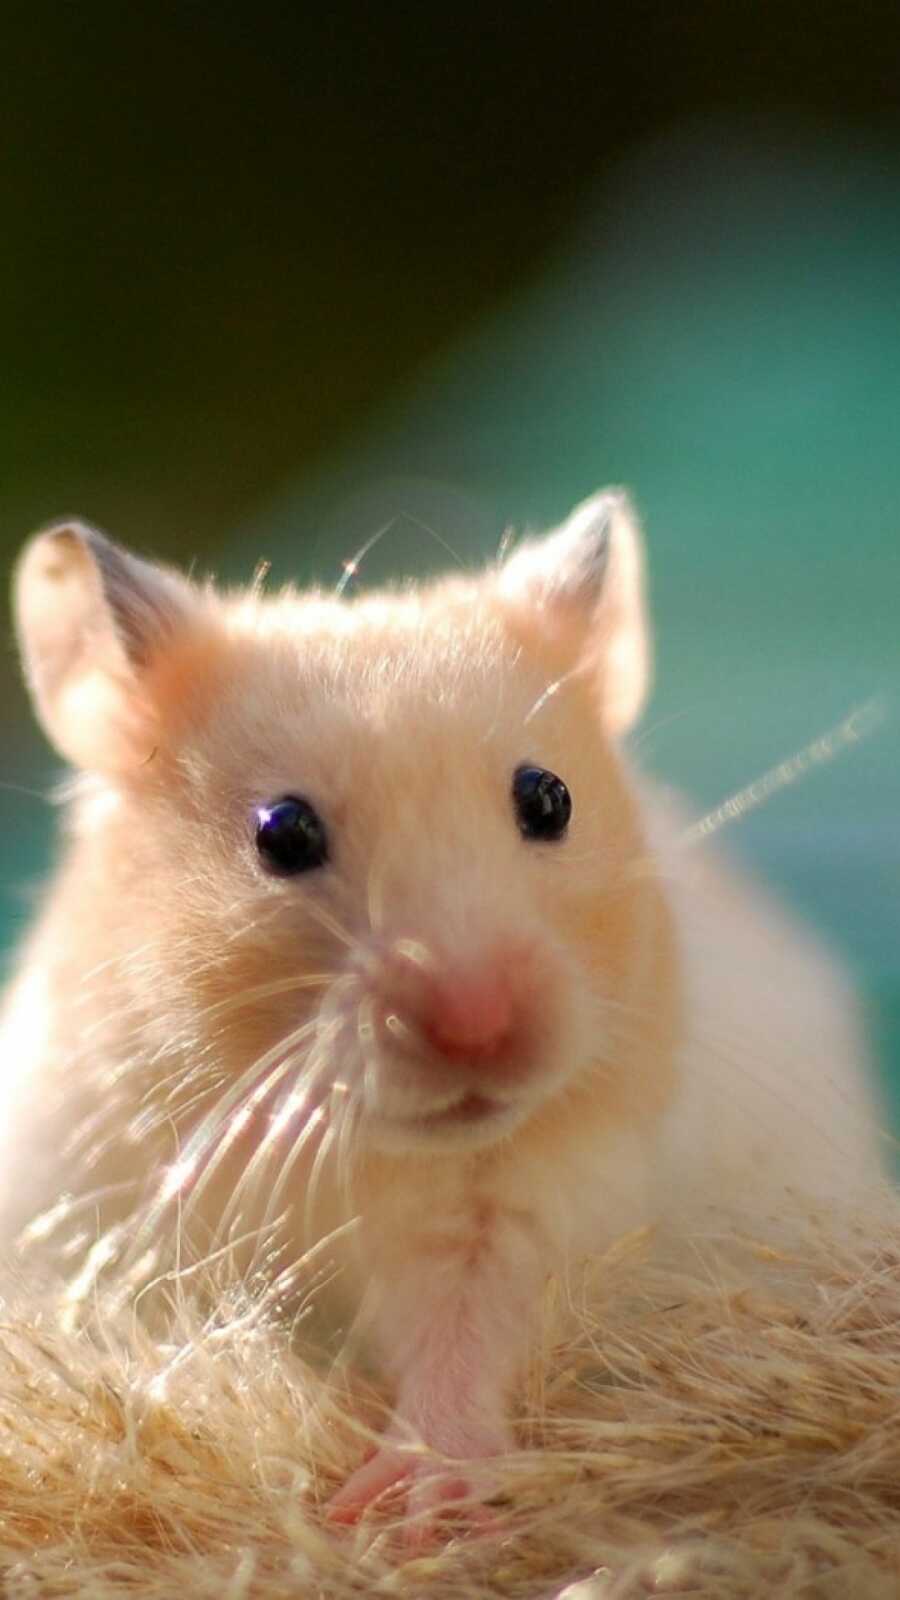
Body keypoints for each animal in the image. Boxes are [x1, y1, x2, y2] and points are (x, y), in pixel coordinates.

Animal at [0, 490, 889, 1524]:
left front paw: (404, 1509)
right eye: (282, 833)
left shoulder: (529, 1208)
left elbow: (465, 1335)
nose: (480, 1029)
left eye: (549, 799)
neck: (343, 1148)